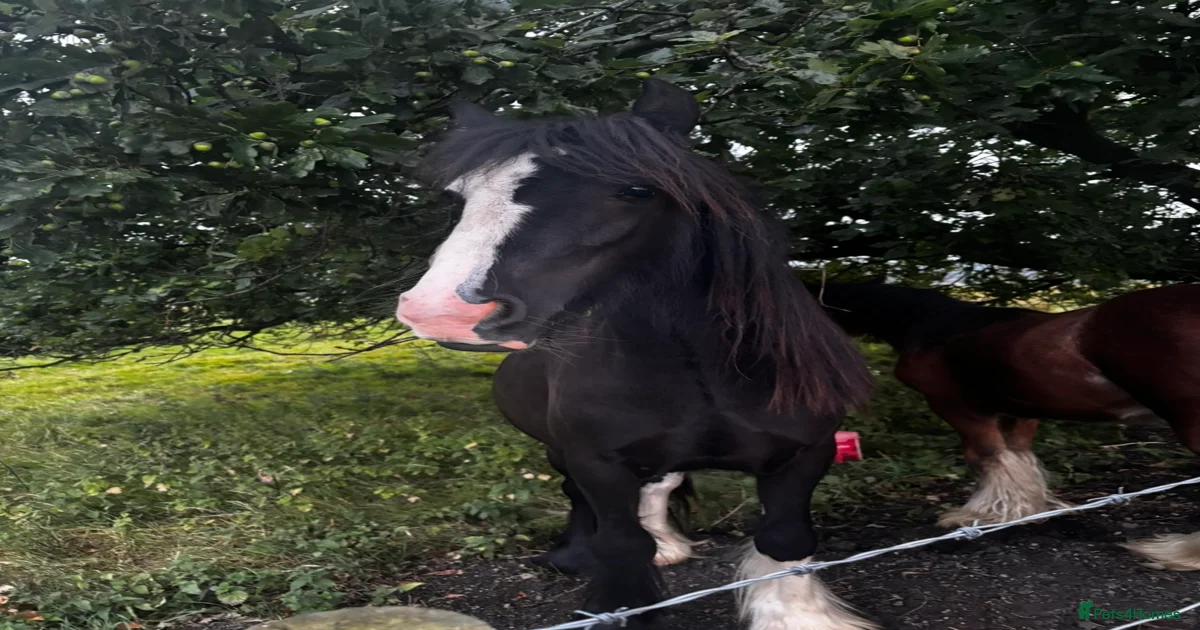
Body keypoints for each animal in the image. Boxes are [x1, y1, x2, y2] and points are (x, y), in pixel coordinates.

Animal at [395, 79, 877, 630]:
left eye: (637, 191)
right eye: (462, 197)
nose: (440, 310)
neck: (707, 371)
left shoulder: (805, 454)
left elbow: (785, 542)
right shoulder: (597, 462)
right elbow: (623, 546)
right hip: (562, 452)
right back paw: (577, 555)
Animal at [808, 278, 1200, 571]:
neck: (932, 323)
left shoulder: (959, 409)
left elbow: (987, 458)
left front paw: (978, 516)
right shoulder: (1022, 410)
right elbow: (1018, 456)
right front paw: (1029, 509)